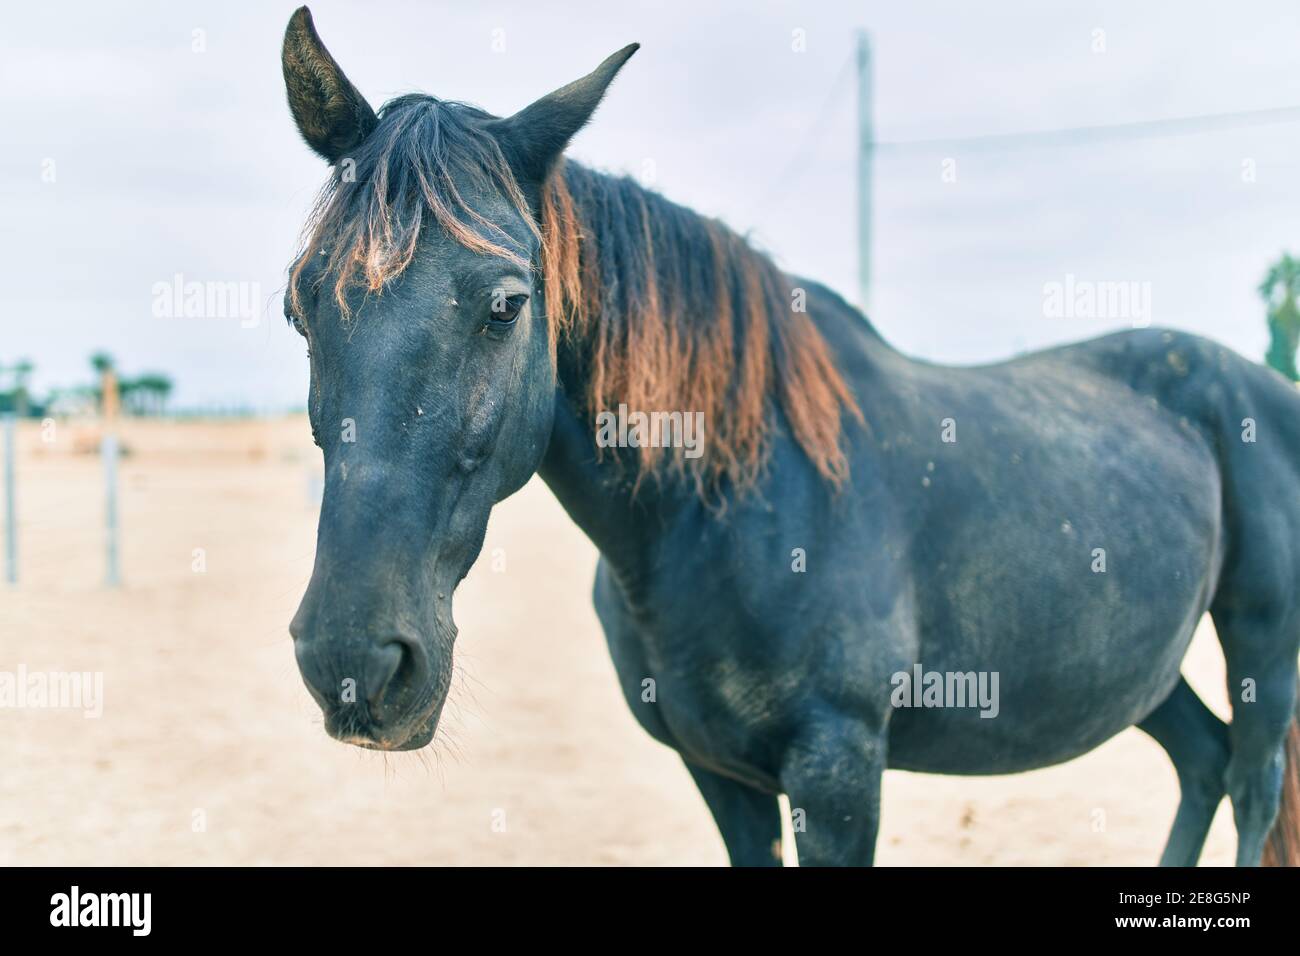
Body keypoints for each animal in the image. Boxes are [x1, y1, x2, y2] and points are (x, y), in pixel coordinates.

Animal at [279, 6, 1300, 866]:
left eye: (505, 305)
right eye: (299, 305)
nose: (354, 662)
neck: (724, 505)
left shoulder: (837, 774)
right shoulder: (722, 777)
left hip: (1263, 646)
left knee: (1252, 780)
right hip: (1145, 668)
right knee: (1204, 761)